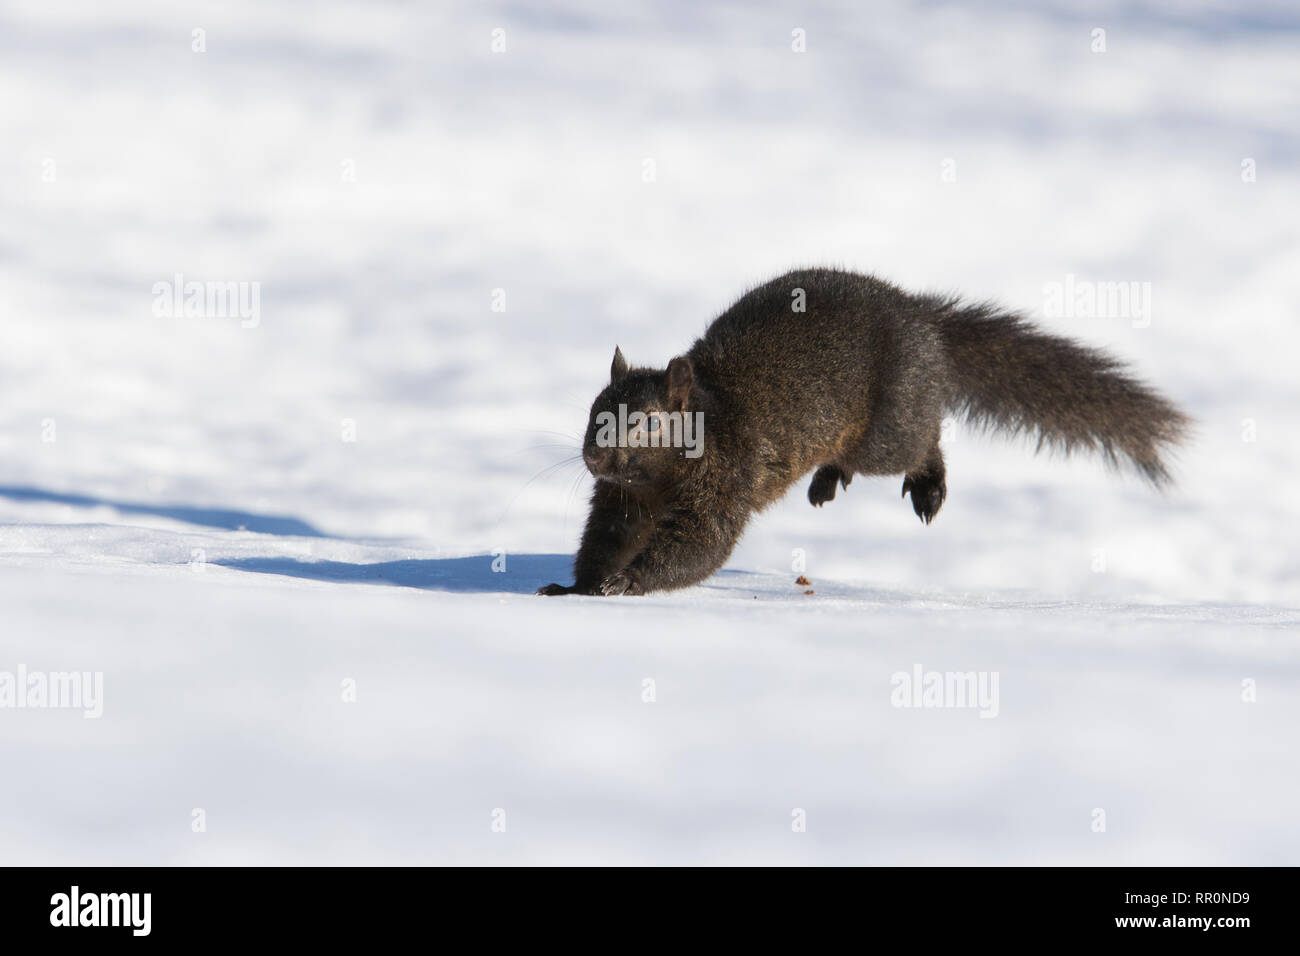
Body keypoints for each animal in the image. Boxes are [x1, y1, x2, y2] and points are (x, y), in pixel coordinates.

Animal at [537, 267, 1189, 596]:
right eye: (594, 410)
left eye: (648, 422)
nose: (594, 460)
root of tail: (925, 325)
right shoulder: (622, 500)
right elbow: (605, 538)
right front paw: (578, 587)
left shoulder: (725, 480)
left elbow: (700, 545)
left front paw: (627, 582)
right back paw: (828, 481)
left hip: (887, 428)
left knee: (923, 440)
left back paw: (927, 487)